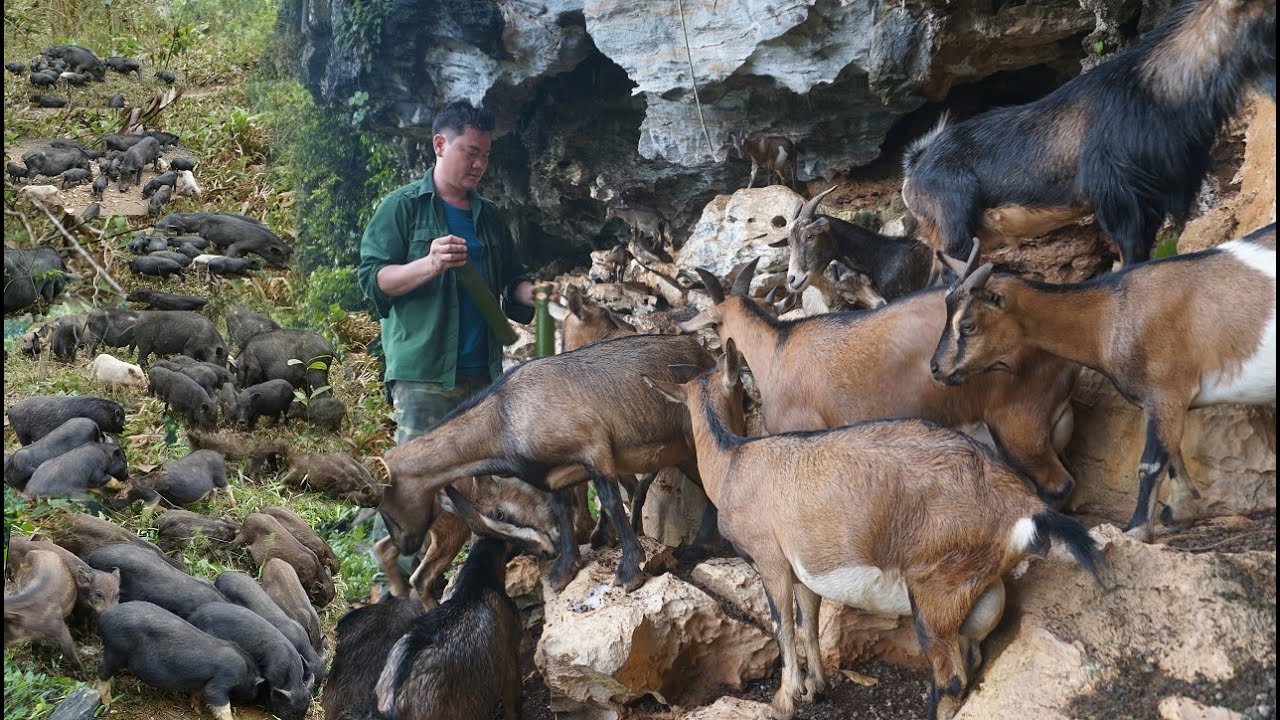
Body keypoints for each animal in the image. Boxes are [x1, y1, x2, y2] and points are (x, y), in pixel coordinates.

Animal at [381, 334, 713, 592]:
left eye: (499, 513)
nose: (405, 544)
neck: (505, 413)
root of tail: (698, 348)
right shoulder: (556, 474)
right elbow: (562, 509)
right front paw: (564, 570)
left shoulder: (595, 449)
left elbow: (610, 502)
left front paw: (629, 570)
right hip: (682, 453)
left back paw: (700, 547)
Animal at [644, 343, 1105, 720]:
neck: (734, 462)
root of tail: (1021, 506)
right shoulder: (804, 569)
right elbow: (808, 622)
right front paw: (817, 688)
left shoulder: (770, 559)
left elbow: (782, 626)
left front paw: (784, 700)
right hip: (977, 587)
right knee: (970, 660)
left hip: (935, 590)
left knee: (950, 675)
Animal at [932, 225, 1277, 541]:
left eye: (968, 325)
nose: (936, 368)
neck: (1110, 316)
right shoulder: (1163, 403)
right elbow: (1173, 456)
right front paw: (1181, 511)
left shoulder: (1166, 391)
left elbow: (1151, 463)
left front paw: (1137, 529)